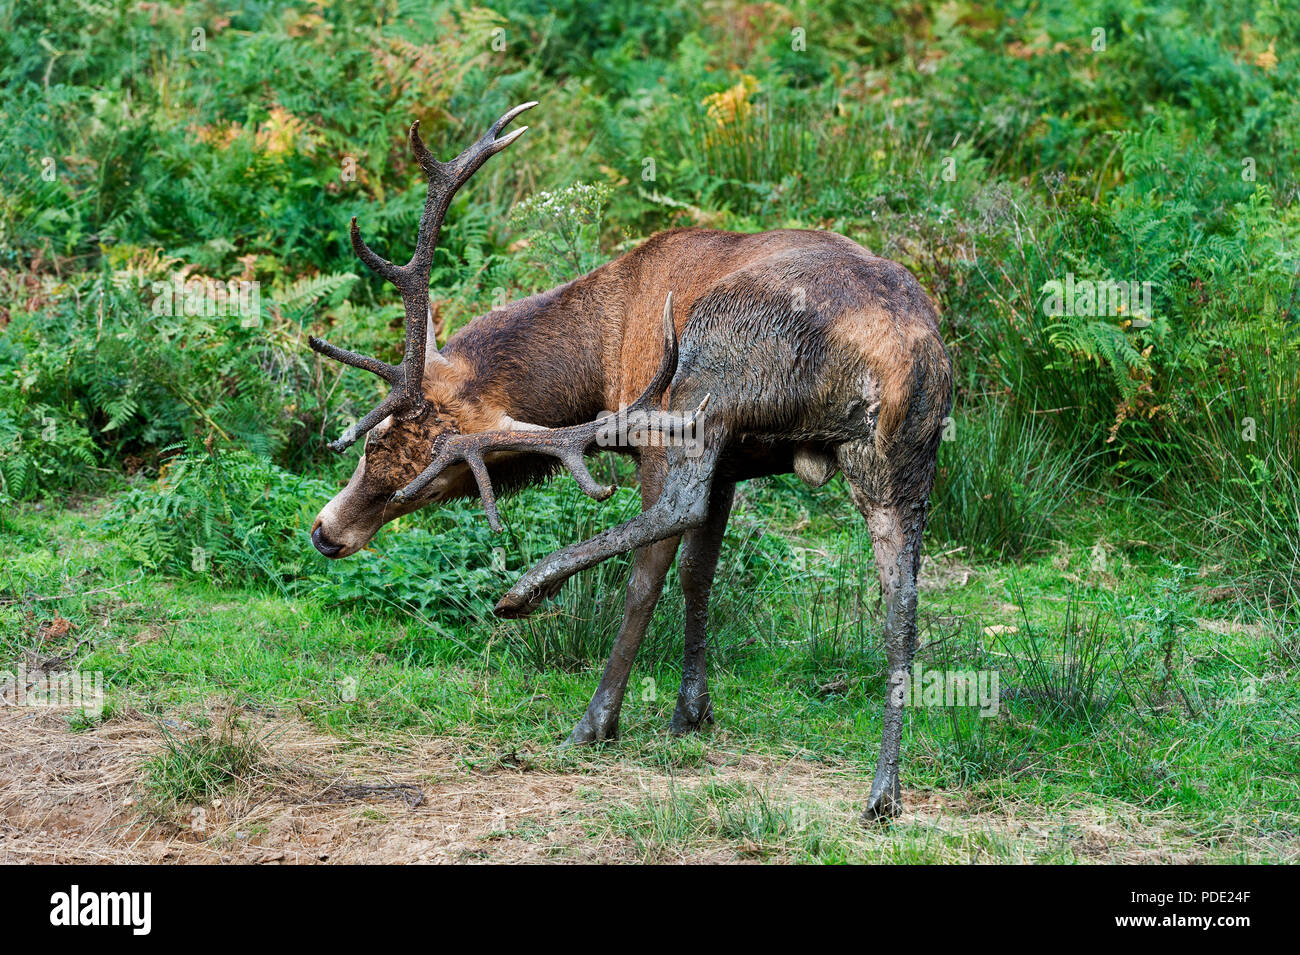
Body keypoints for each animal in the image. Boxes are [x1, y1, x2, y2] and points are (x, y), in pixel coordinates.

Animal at [306, 103, 952, 820]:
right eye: (377, 440)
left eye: (420, 467)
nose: (327, 532)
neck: (602, 351)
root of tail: (903, 352)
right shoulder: (737, 466)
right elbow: (701, 573)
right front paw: (691, 711)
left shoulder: (662, 438)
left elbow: (653, 575)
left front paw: (604, 719)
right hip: (901, 460)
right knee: (903, 603)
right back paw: (884, 791)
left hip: (706, 378)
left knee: (676, 512)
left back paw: (531, 596)